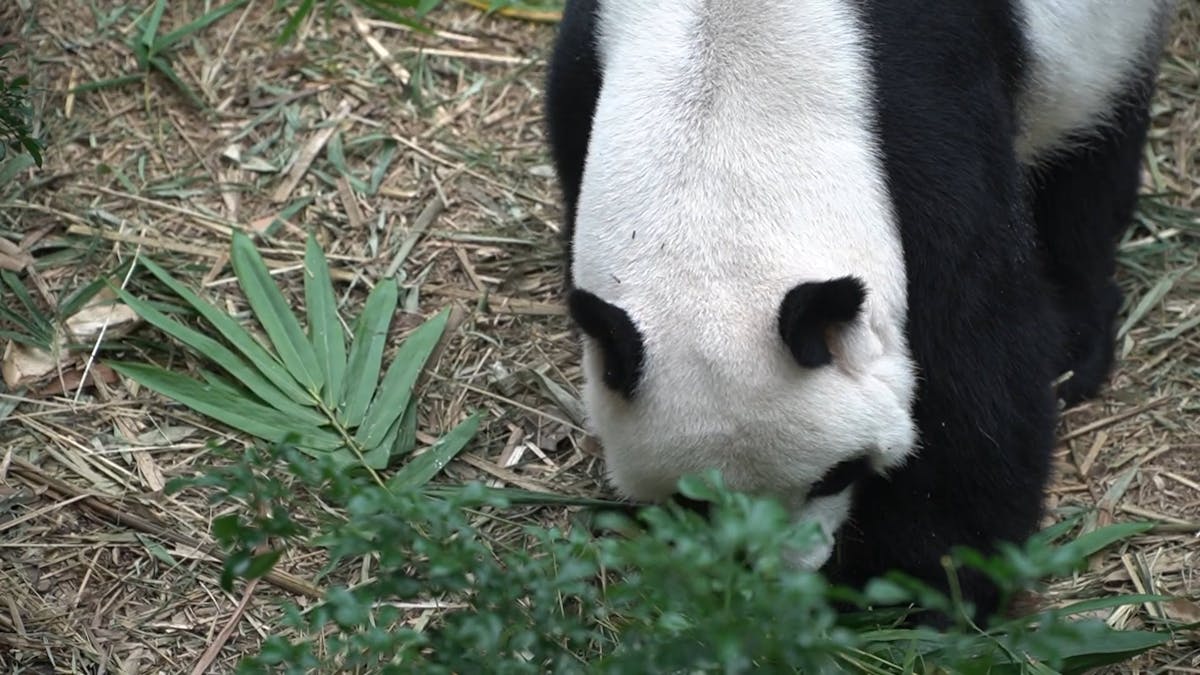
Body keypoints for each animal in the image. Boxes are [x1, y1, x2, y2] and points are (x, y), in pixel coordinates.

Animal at [543, 0, 1175, 622]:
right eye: (694, 500)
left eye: (837, 475)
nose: (786, 571)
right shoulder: (584, 64)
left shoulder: (927, 108)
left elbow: (974, 358)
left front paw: (928, 581)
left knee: (1089, 159)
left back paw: (1074, 349)